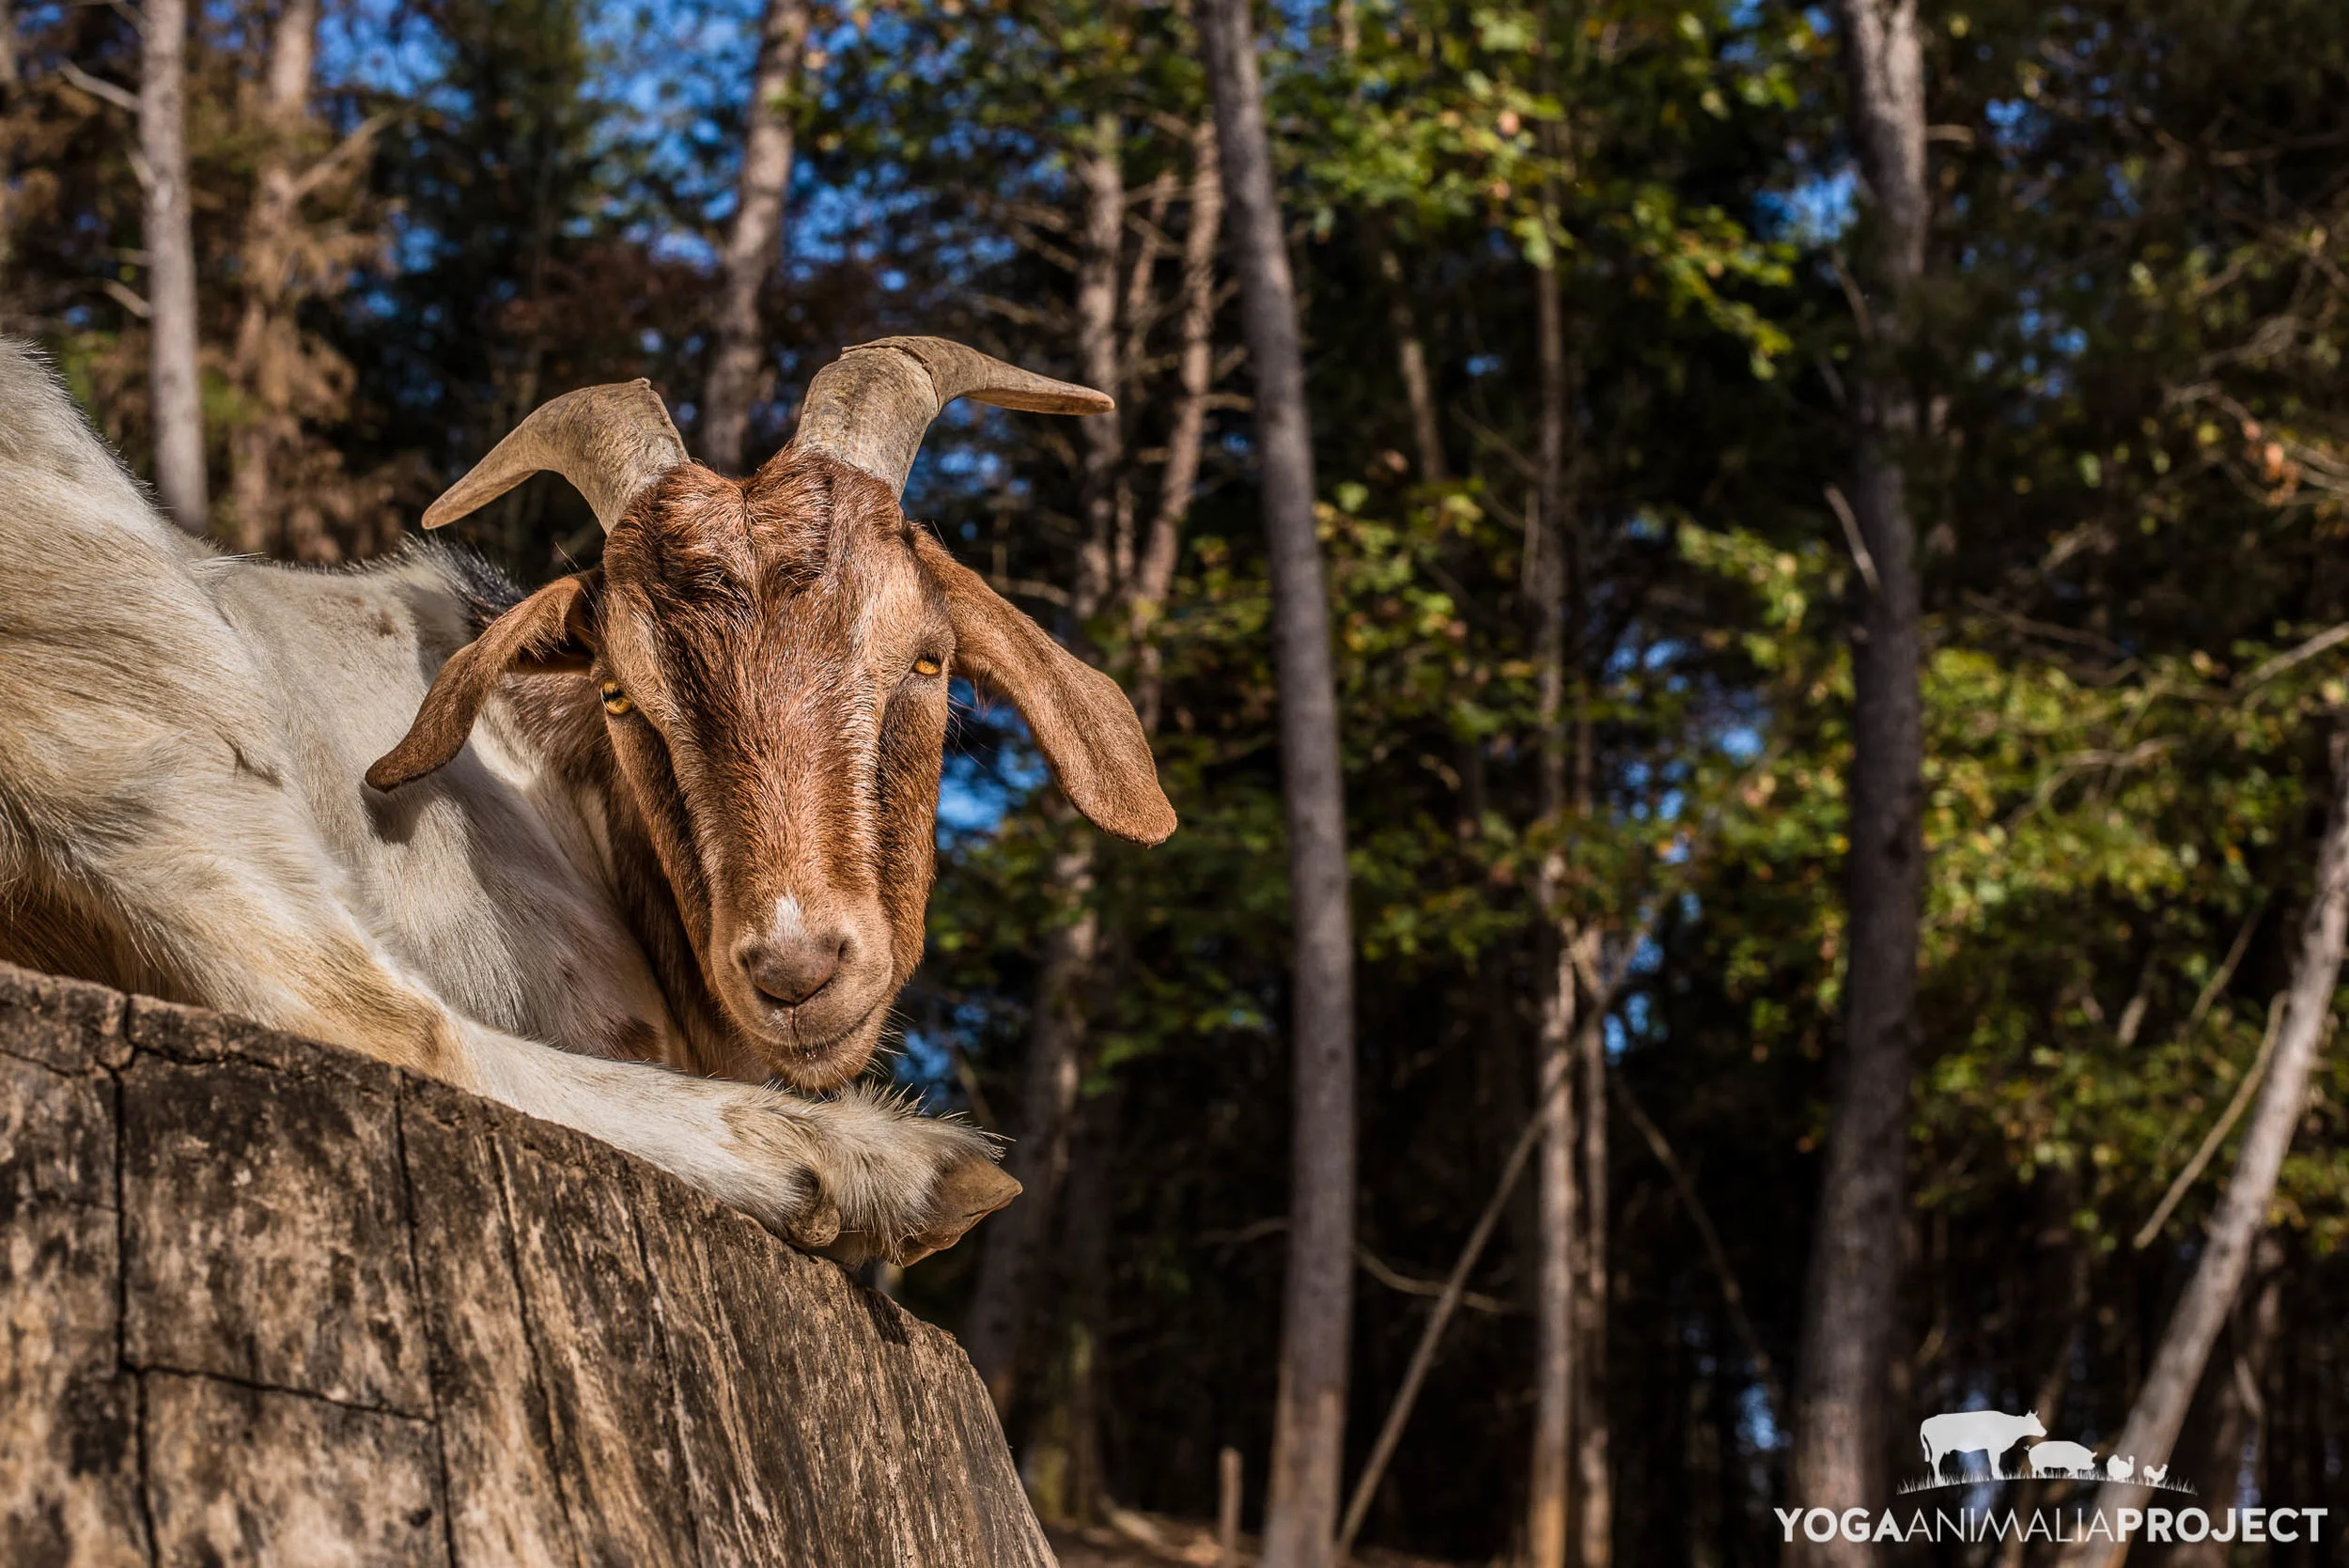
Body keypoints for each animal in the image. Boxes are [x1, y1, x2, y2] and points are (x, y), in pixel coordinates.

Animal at [0, 335, 1174, 1264]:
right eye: (623, 693)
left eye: (928, 662)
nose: (796, 969)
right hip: (137, 703)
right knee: (375, 1020)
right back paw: (884, 1163)